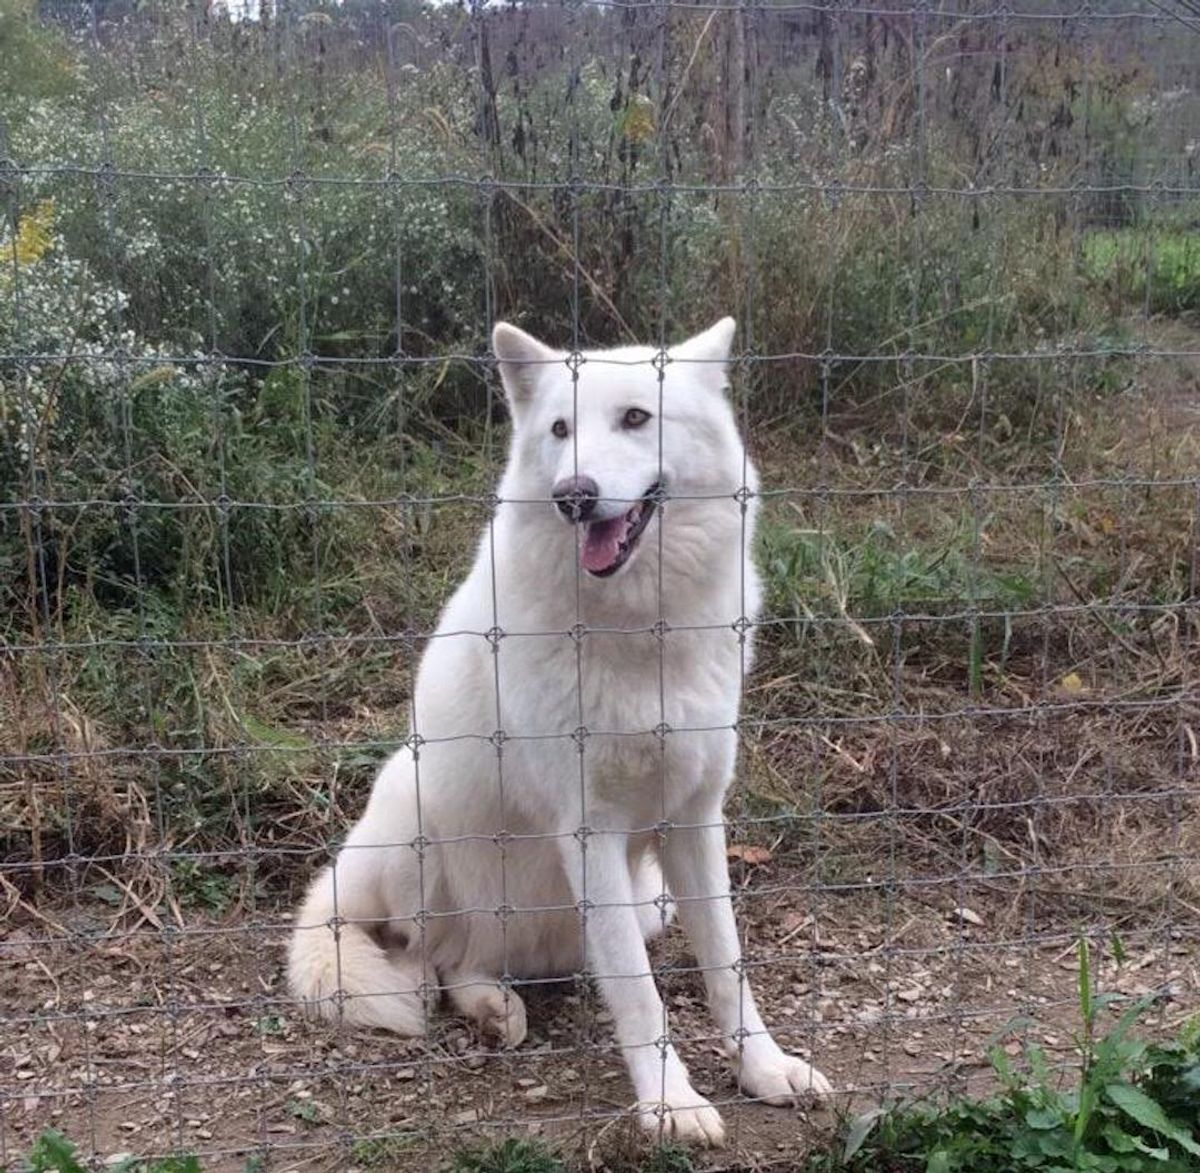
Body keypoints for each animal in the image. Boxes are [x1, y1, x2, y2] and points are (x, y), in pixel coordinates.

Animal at [287, 318, 831, 1145]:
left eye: (636, 417)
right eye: (560, 430)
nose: (574, 496)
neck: (643, 629)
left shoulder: (696, 820)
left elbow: (727, 966)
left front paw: (764, 1069)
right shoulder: (590, 830)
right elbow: (640, 995)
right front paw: (670, 1104)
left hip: (642, 902)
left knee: (474, 961)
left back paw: (498, 1005)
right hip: (419, 823)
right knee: (432, 960)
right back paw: (486, 1008)